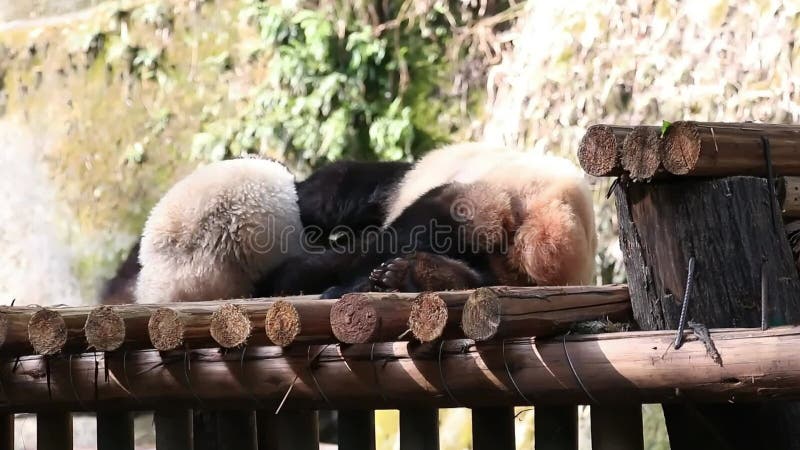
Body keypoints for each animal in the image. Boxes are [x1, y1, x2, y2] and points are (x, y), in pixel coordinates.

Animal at [135, 143, 596, 303]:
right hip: (518, 261)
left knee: (406, 232)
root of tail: (550, 212)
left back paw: (363, 283)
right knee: (487, 278)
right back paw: (428, 275)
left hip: (473, 196)